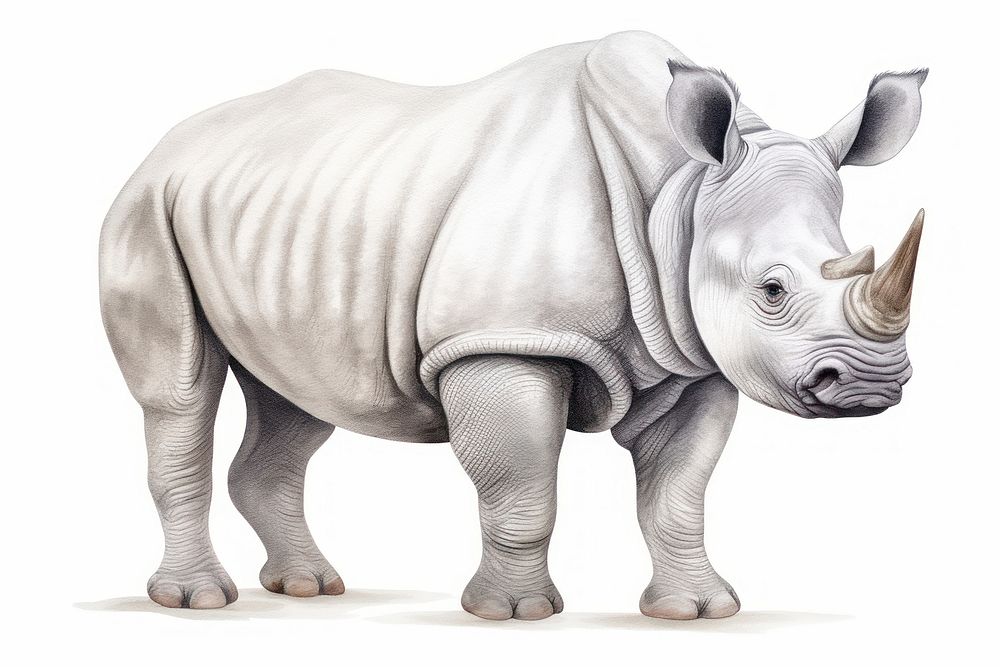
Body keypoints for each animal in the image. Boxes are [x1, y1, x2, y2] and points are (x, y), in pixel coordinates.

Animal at [99, 30, 926, 620]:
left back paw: (309, 587)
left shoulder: (691, 355)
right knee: (179, 392)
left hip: (280, 222)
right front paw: (514, 612)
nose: (872, 385)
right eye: (772, 289)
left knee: (297, 395)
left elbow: (678, 494)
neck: (681, 197)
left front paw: (698, 610)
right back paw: (197, 600)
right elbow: (523, 486)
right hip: (147, 208)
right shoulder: (498, 343)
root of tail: (166, 143)